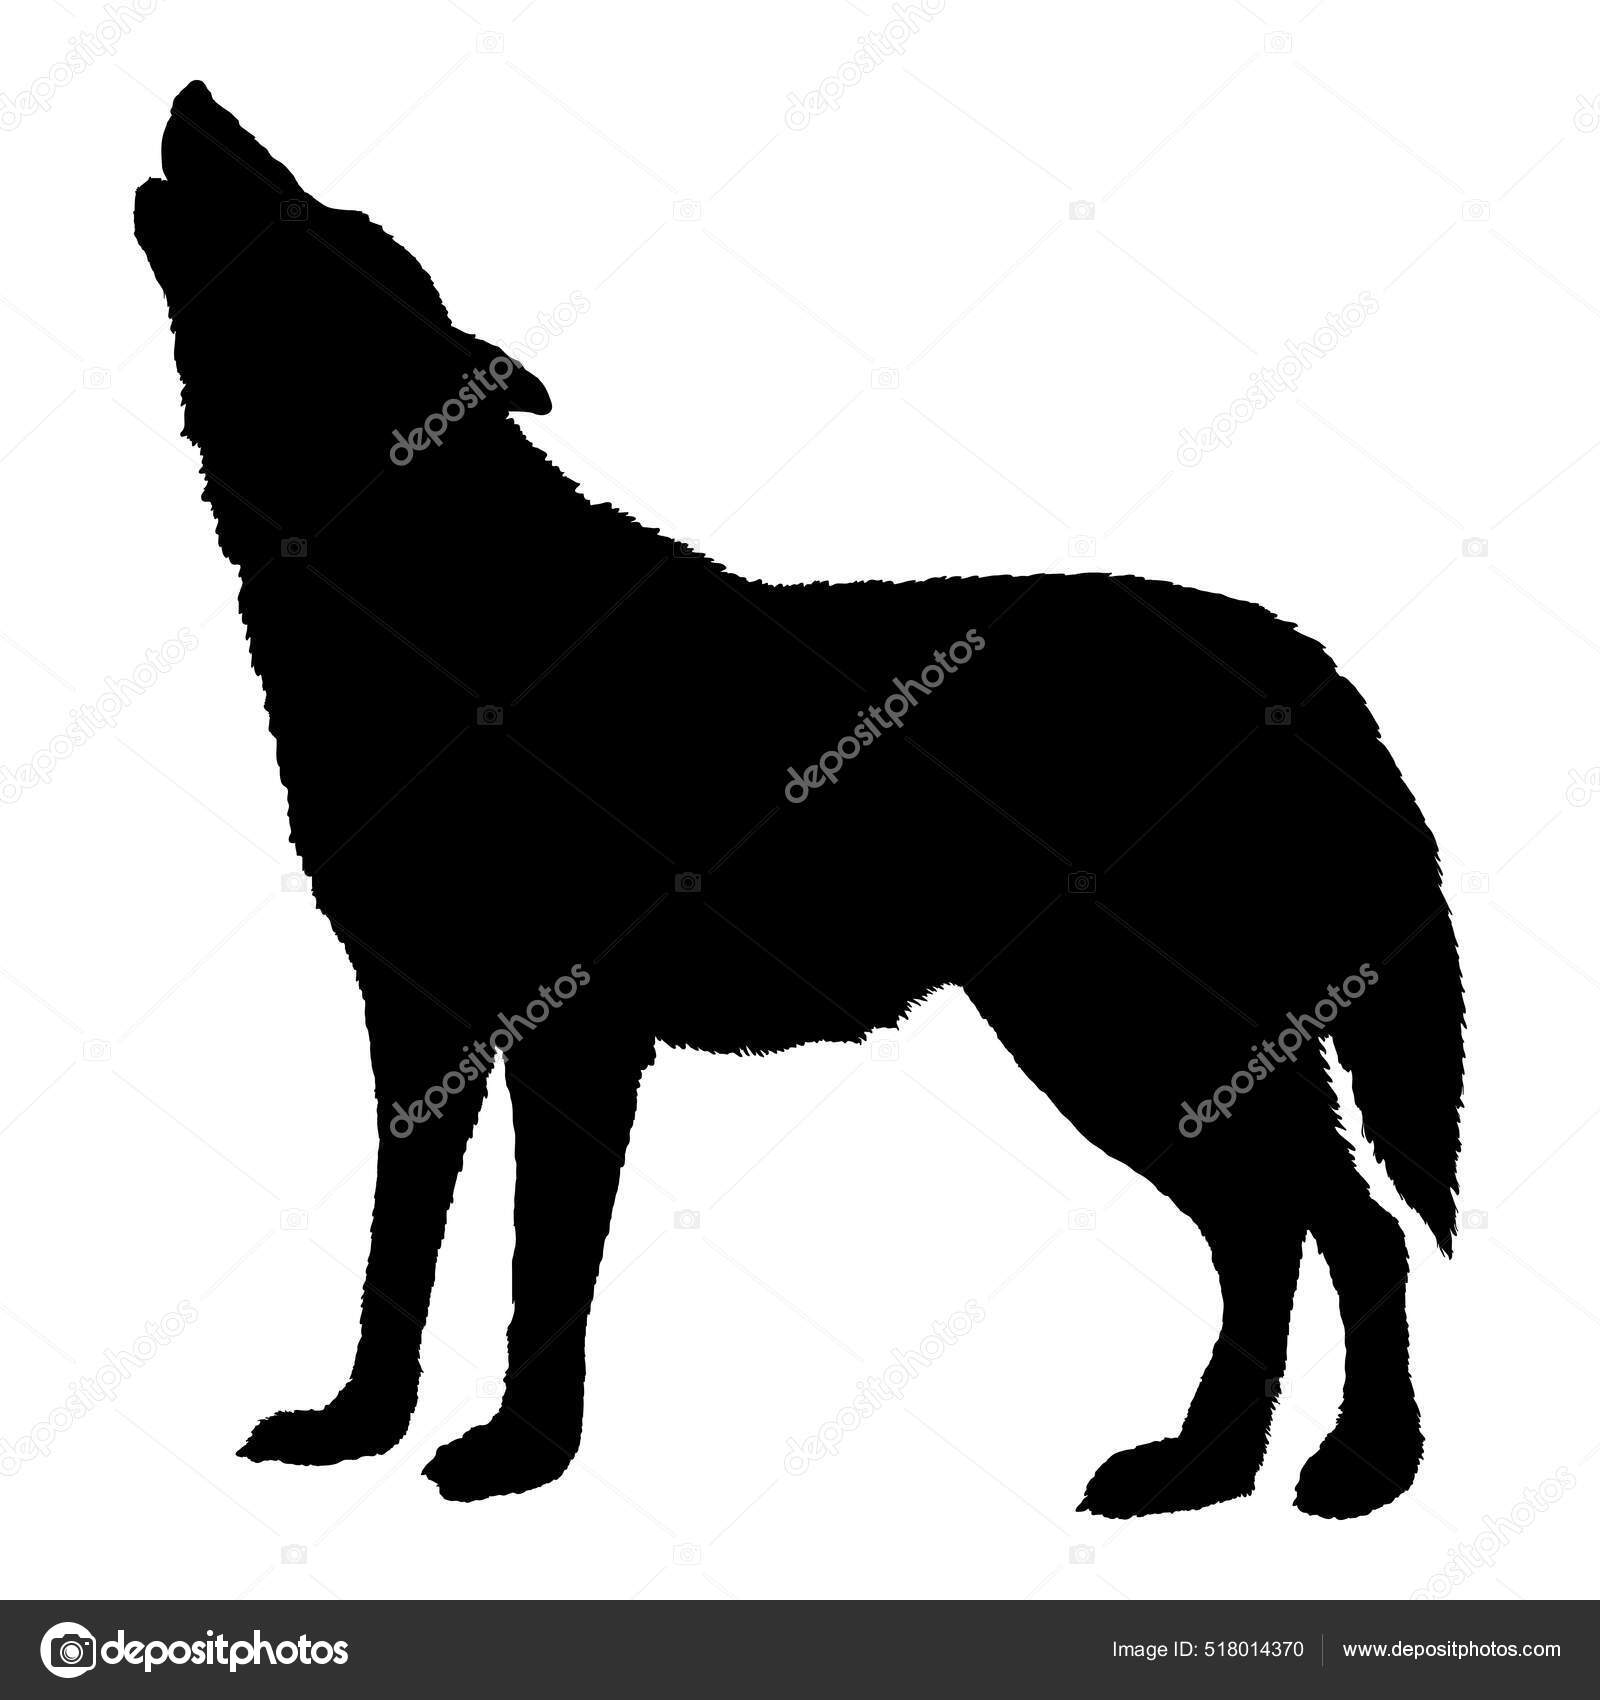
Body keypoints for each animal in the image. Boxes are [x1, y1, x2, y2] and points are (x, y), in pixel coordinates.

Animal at [134, 82, 1463, 1512]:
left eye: (321, 225)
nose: (196, 96)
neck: (433, 602)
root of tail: (1306, 662)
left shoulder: (575, 1034)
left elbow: (542, 1263)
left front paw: (521, 1452)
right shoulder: (420, 1023)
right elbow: (402, 1248)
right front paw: (358, 1425)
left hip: (1132, 1034)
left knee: (1348, 1228)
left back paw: (1359, 1464)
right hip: (1129, 1042)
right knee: (1274, 1229)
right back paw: (1203, 1467)